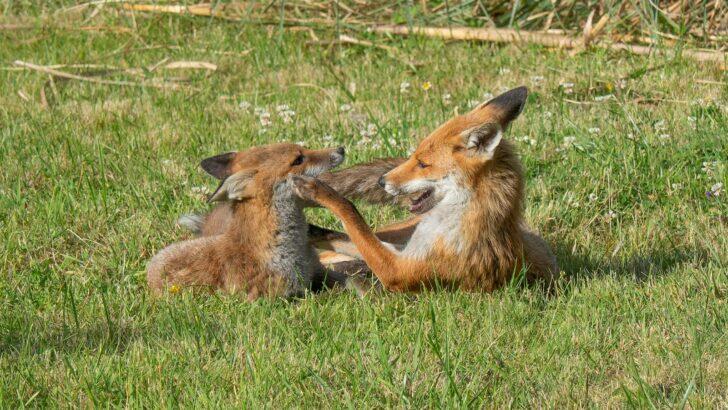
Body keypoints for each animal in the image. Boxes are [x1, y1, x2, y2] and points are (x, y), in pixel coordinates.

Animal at [146, 143, 347, 299]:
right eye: (298, 160)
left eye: (304, 149)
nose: (341, 149)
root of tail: (150, 268)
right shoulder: (282, 297)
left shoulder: (316, 271)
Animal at [291, 86, 558, 292]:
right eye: (415, 156)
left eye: (422, 164)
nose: (382, 181)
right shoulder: (405, 248)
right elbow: (344, 235)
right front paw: (311, 231)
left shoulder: (397, 270)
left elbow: (350, 212)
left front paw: (317, 189)